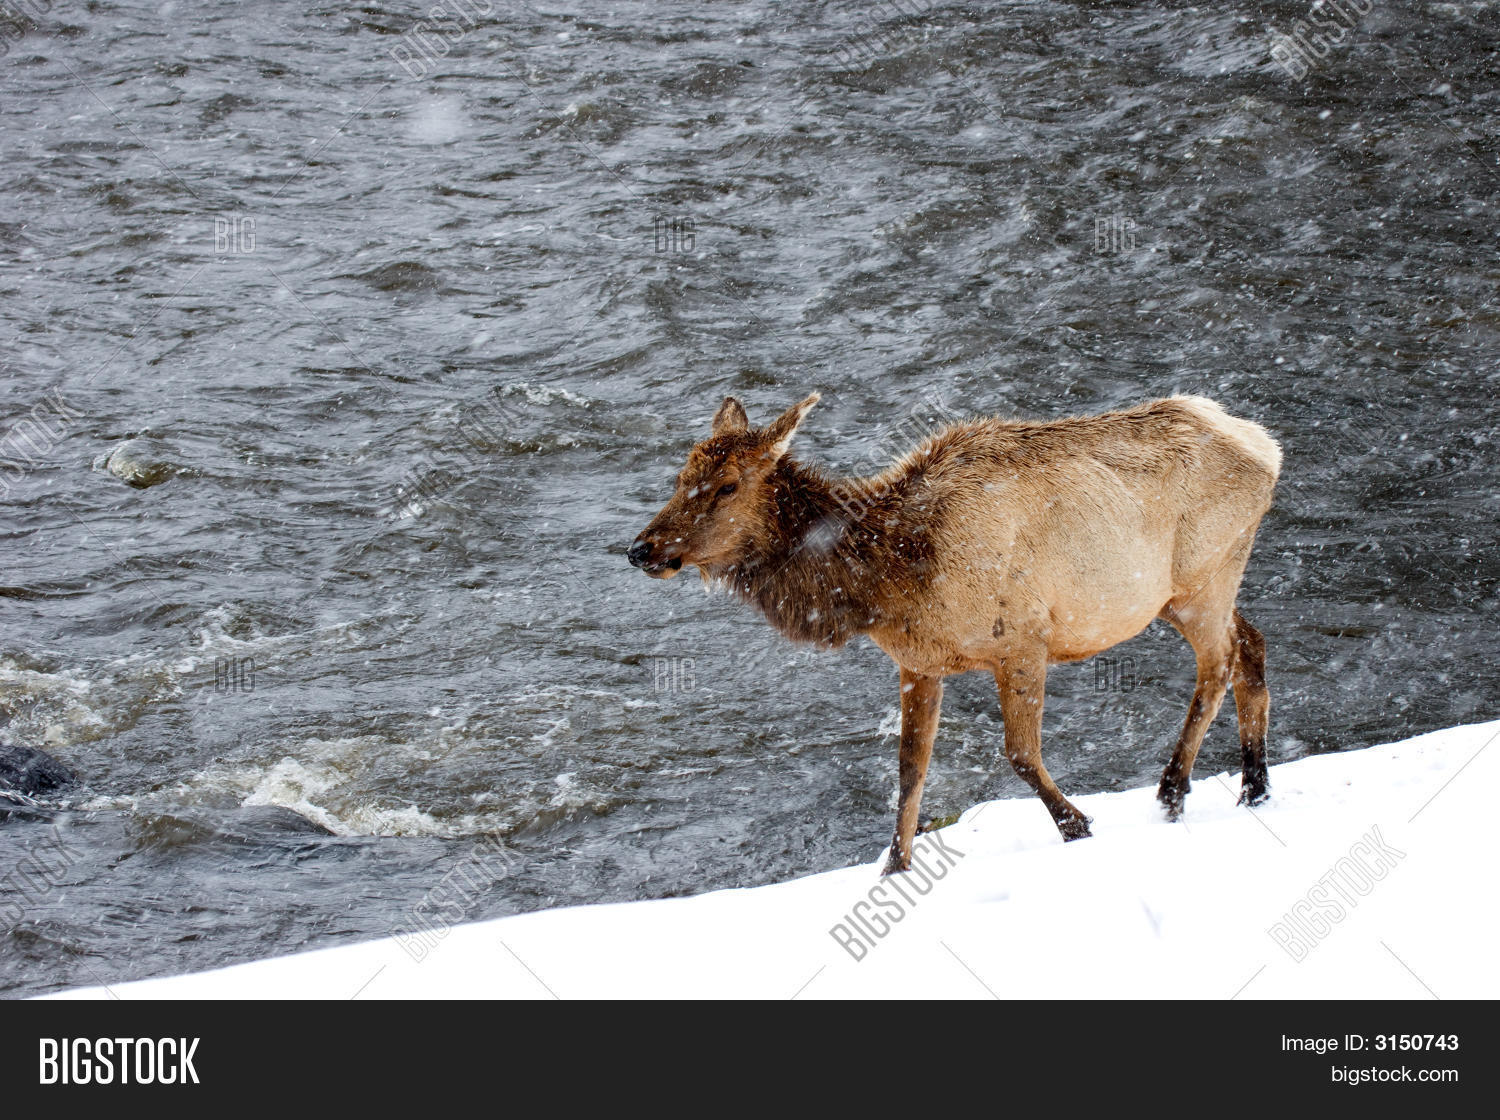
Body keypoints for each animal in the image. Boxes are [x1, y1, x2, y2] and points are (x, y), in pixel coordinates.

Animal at [627, 392, 1281, 874]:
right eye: (681, 473)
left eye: (728, 485)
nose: (642, 549)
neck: (889, 578)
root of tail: (1265, 445)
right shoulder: (918, 662)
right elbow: (909, 771)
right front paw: (894, 865)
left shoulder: (1022, 639)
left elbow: (1019, 753)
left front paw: (1077, 824)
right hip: (1184, 593)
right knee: (1252, 643)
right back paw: (1255, 786)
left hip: (1202, 579)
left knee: (1219, 663)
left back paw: (1173, 790)